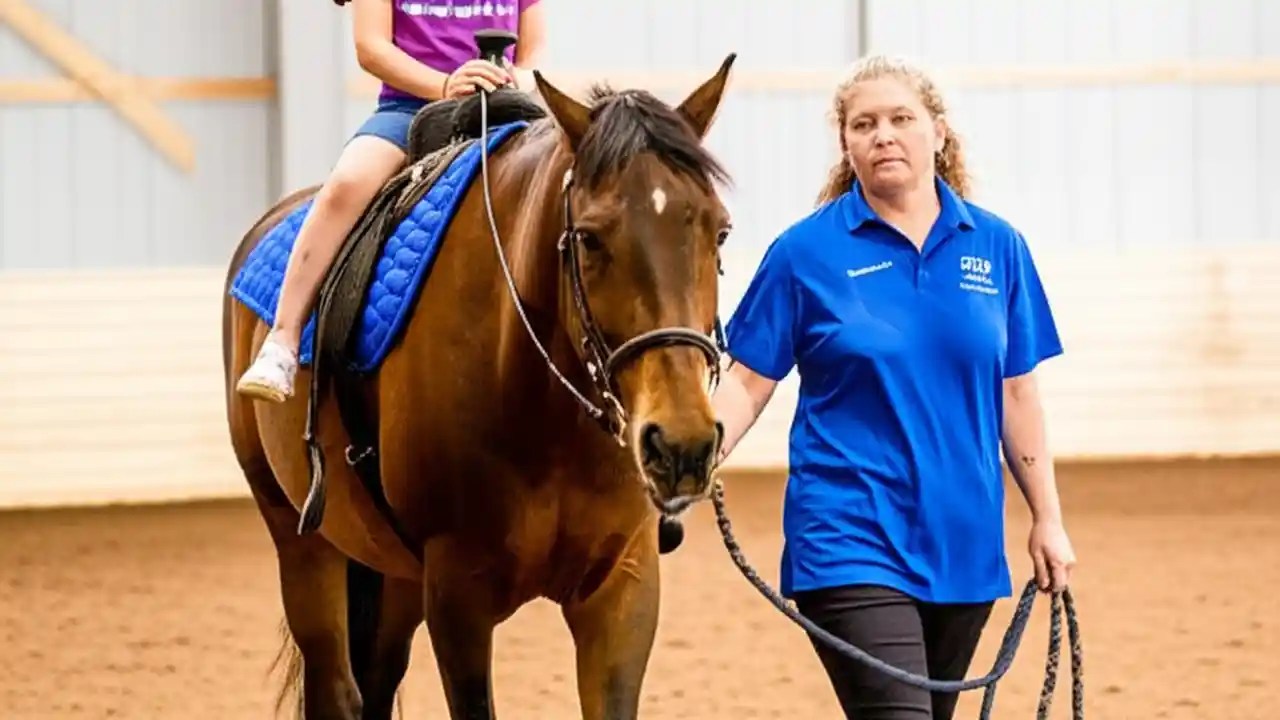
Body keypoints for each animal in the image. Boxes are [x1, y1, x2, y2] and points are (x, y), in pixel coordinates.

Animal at [220, 55, 738, 719]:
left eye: (719, 232)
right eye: (590, 236)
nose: (680, 445)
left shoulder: (624, 589)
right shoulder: (457, 598)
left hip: (395, 575)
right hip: (301, 541)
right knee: (334, 684)